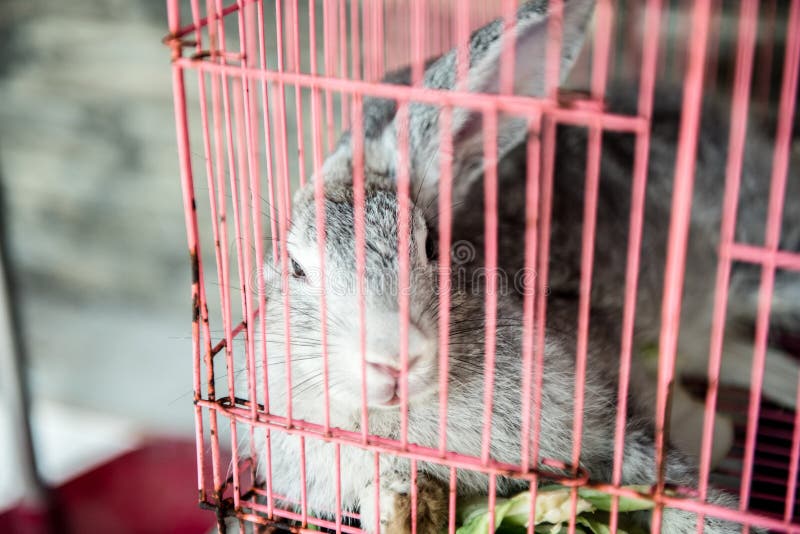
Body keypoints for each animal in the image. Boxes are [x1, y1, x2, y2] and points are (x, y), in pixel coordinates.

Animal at [242, 0, 797, 532]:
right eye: (295, 267)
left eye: (432, 244)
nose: (395, 358)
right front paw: (395, 507)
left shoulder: (606, 424)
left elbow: (674, 490)